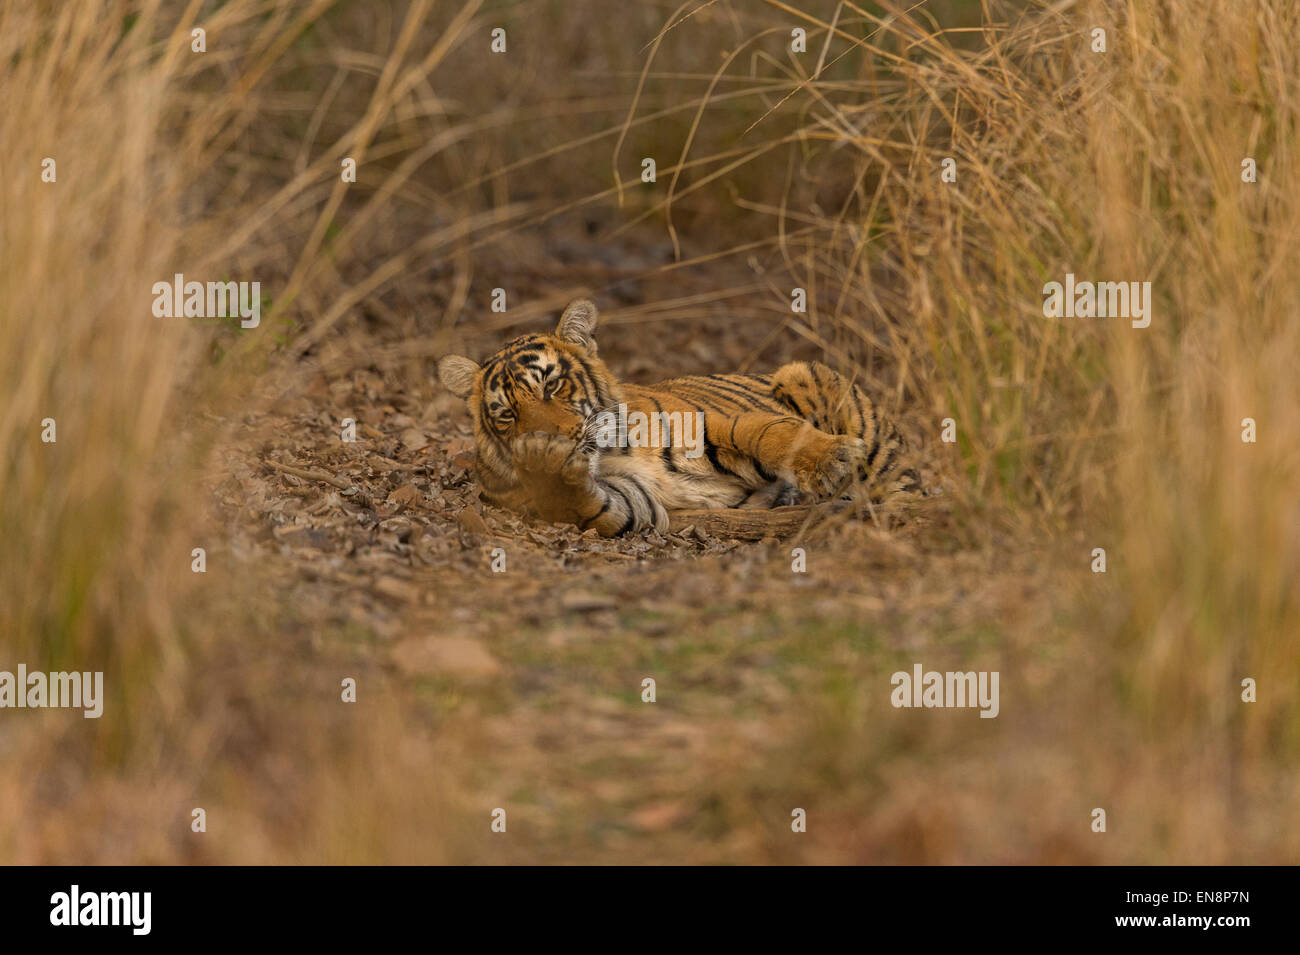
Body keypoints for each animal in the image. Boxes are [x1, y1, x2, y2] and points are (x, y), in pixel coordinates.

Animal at [437, 299, 923, 537]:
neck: (607, 457)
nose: (546, 443)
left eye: (551, 385)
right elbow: (591, 505)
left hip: (810, 376)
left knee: (904, 479)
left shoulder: (707, 423)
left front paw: (830, 459)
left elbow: (767, 432)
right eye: (507, 414)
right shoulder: (631, 499)